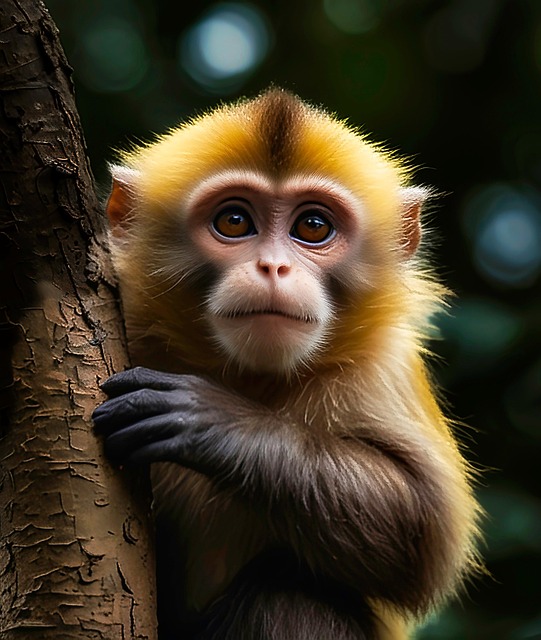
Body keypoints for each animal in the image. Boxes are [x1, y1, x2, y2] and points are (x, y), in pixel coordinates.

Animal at [92, 88, 481, 640]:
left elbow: (425, 533)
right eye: (234, 221)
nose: (273, 267)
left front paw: (216, 423)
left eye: (313, 227)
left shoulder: (381, 367)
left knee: (290, 595)